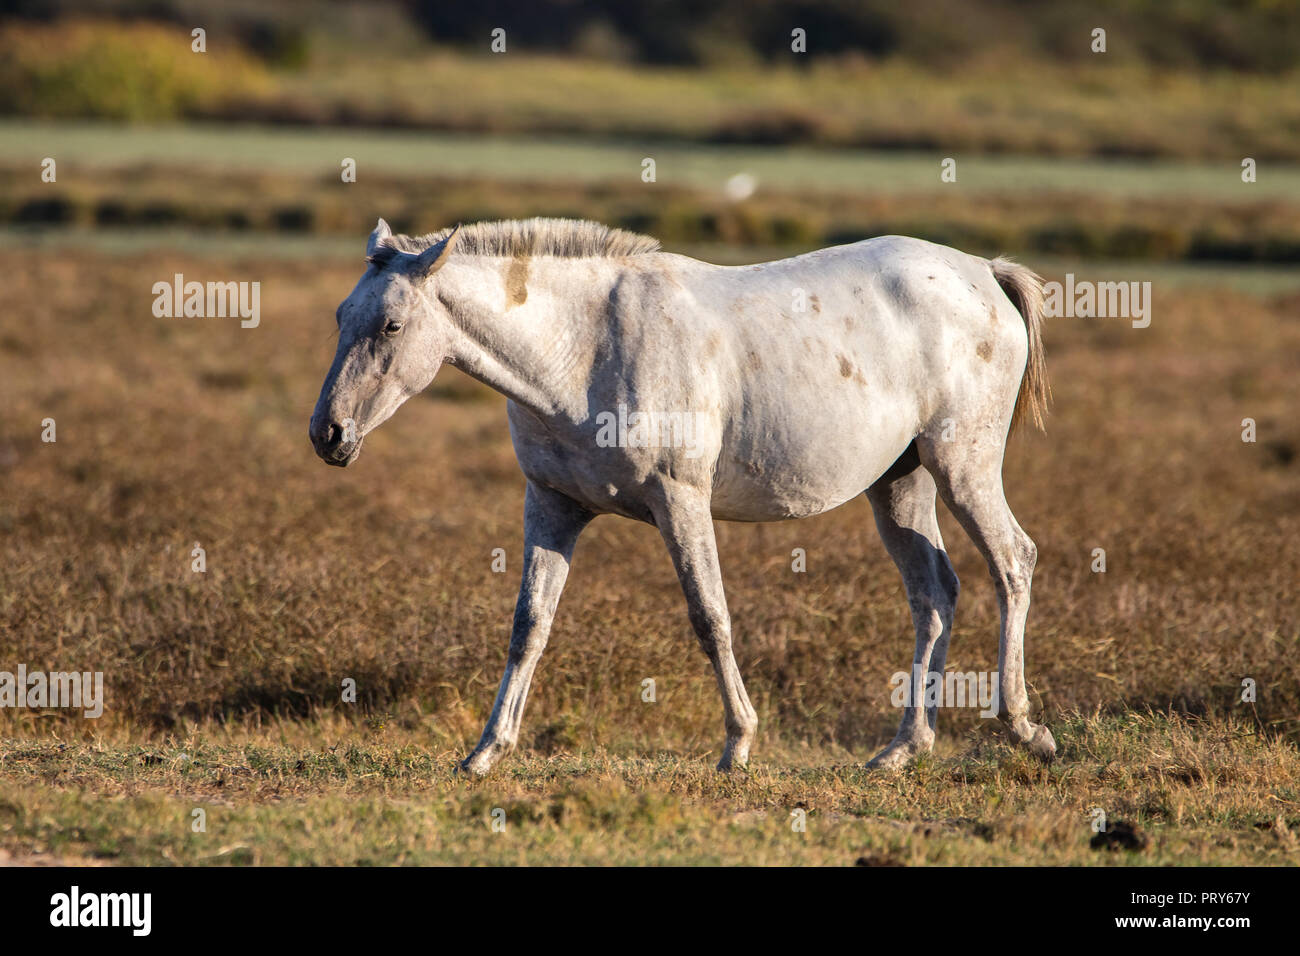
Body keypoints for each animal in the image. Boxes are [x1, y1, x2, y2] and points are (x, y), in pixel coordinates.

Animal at [310, 217, 1055, 775]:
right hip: (900, 485)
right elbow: (529, 626)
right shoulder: (552, 506)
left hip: (963, 468)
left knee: (1013, 563)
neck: (584, 346)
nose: (328, 433)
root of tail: (984, 273)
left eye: (391, 326)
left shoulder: (680, 503)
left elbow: (710, 617)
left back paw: (1023, 727)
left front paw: (738, 746)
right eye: (343, 315)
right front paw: (486, 751)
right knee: (934, 593)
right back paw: (904, 749)